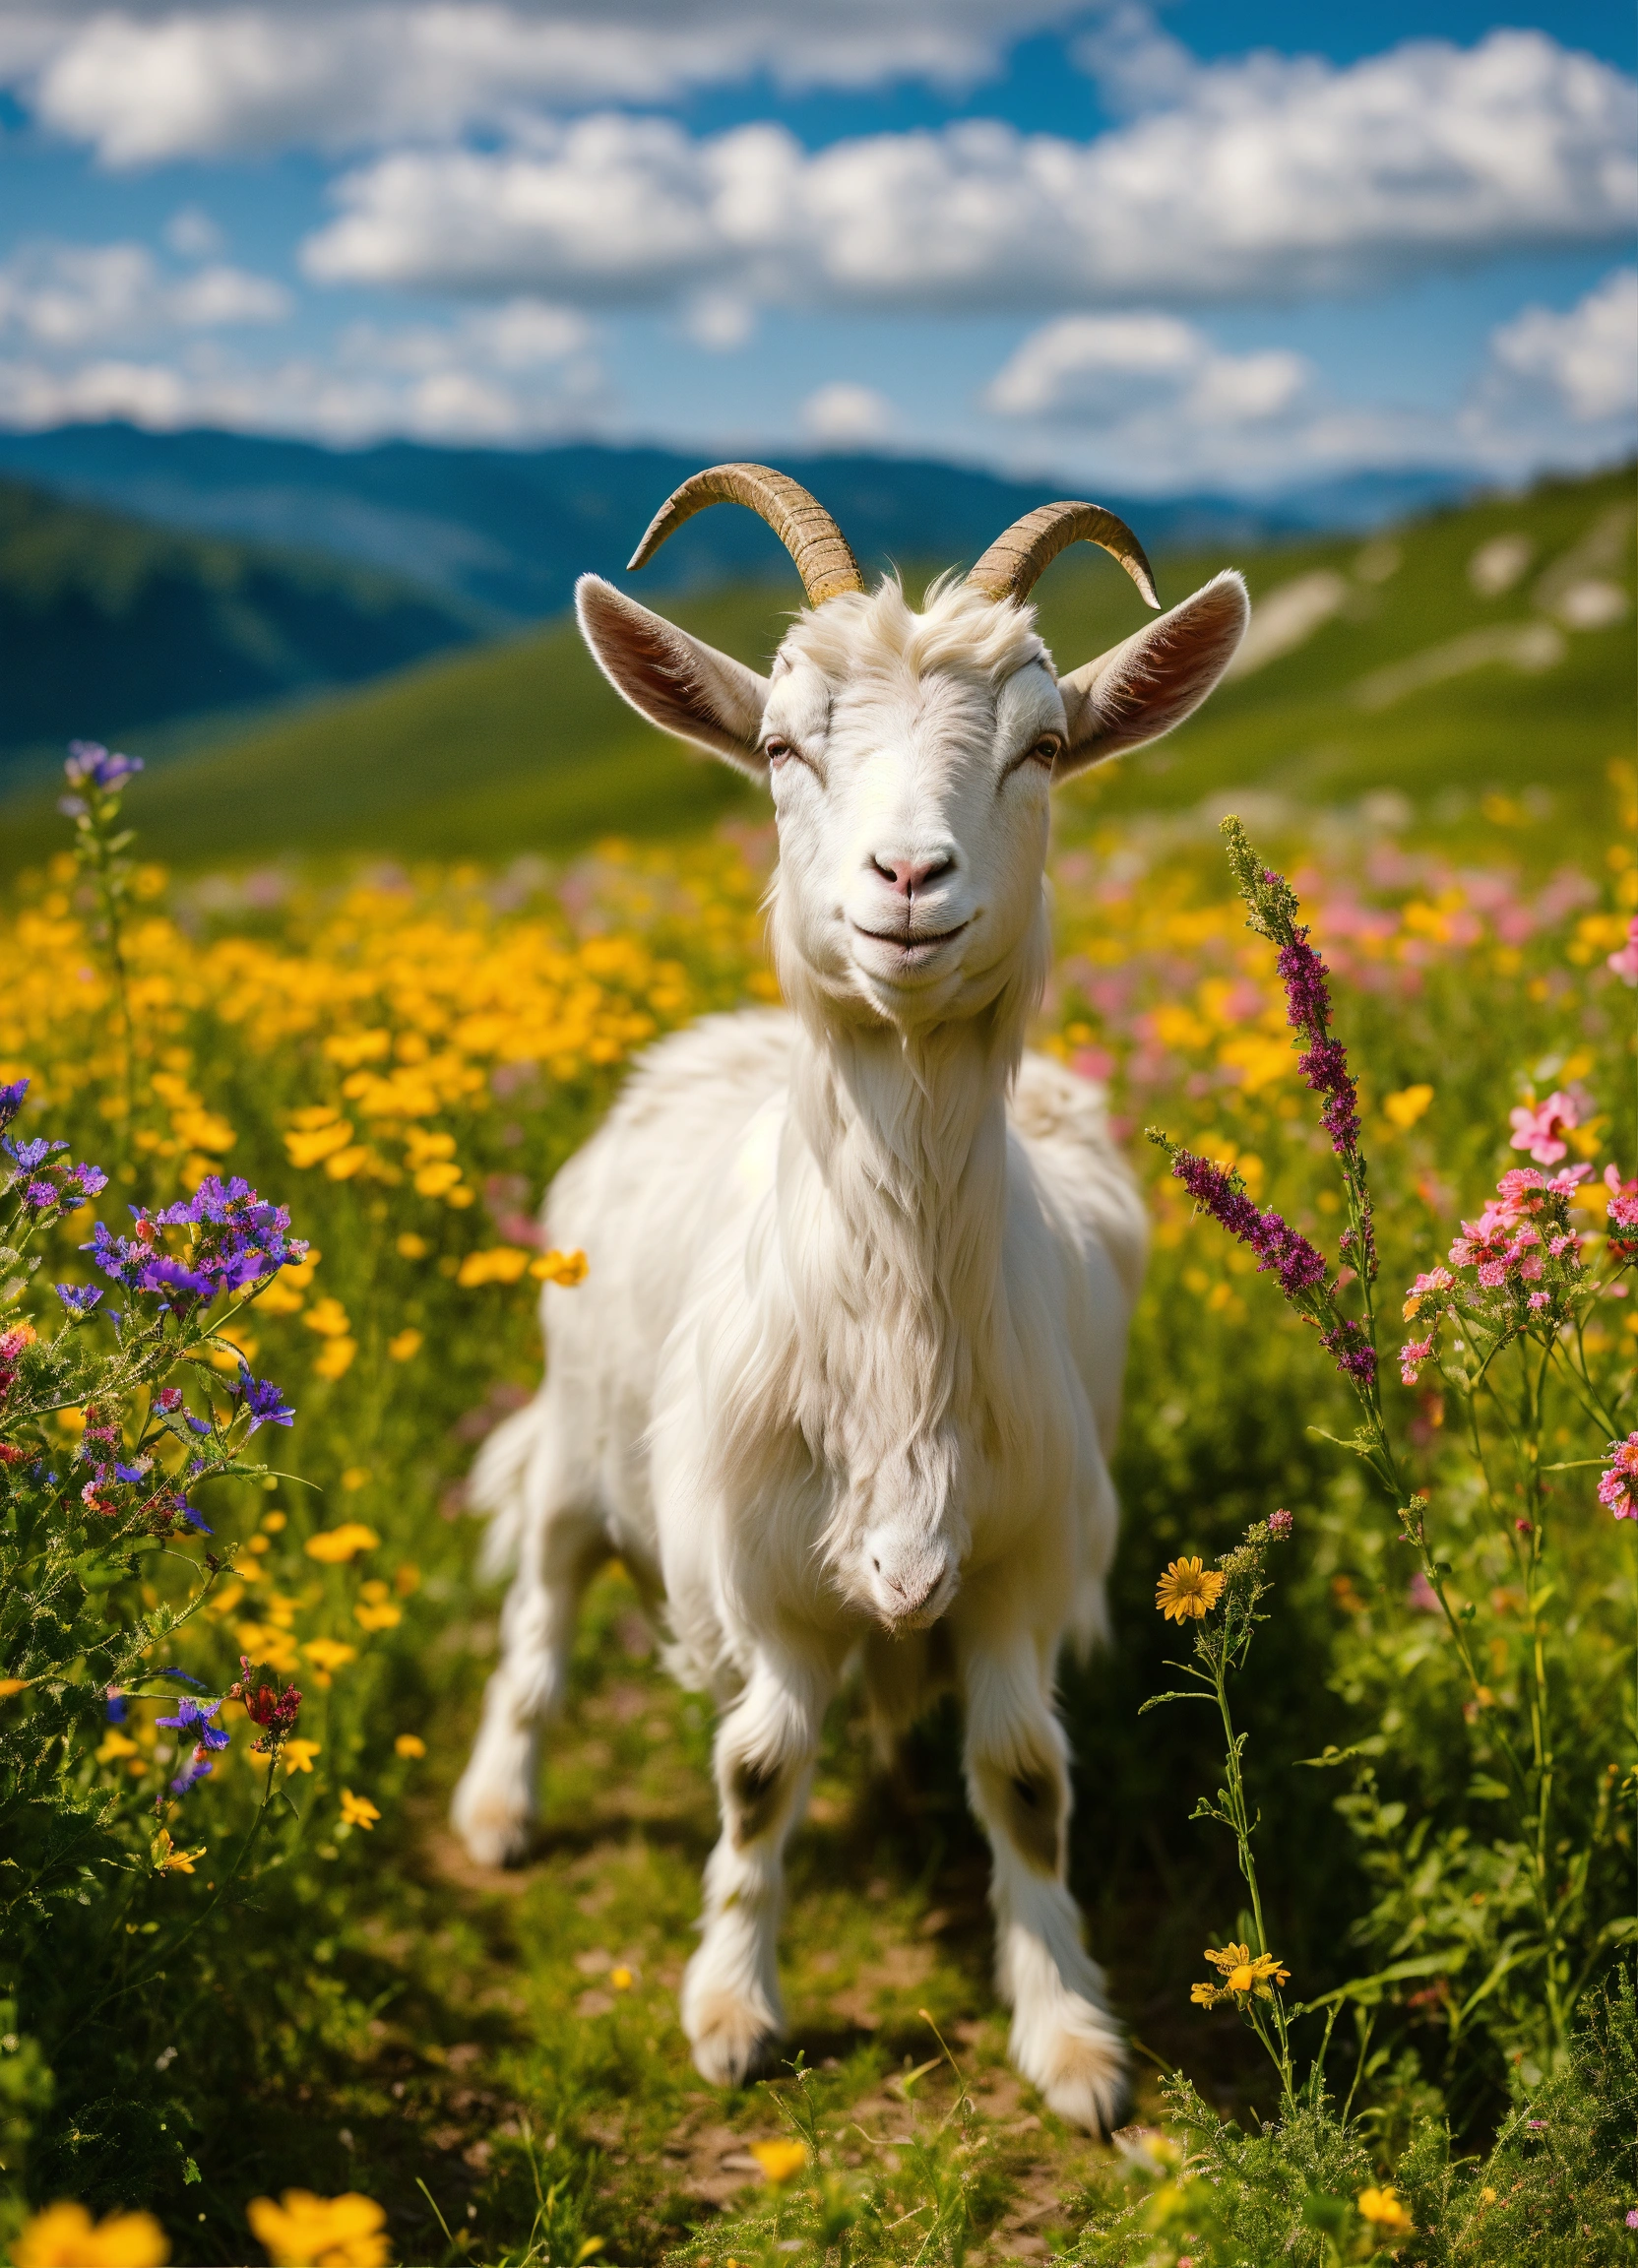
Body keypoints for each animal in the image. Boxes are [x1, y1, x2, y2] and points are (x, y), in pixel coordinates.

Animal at [451, 466, 1247, 2131]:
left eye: (1043, 744)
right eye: (776, 741)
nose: (905, 884)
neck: (896, 1349)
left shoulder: (1026, 1556)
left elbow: (1027, 1780)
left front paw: (1070, 2039)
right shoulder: (756, 1569)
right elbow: (756, 1773)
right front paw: (729, 2011)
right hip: (574, 1437)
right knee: (539, 1618)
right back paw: (499, 1802)